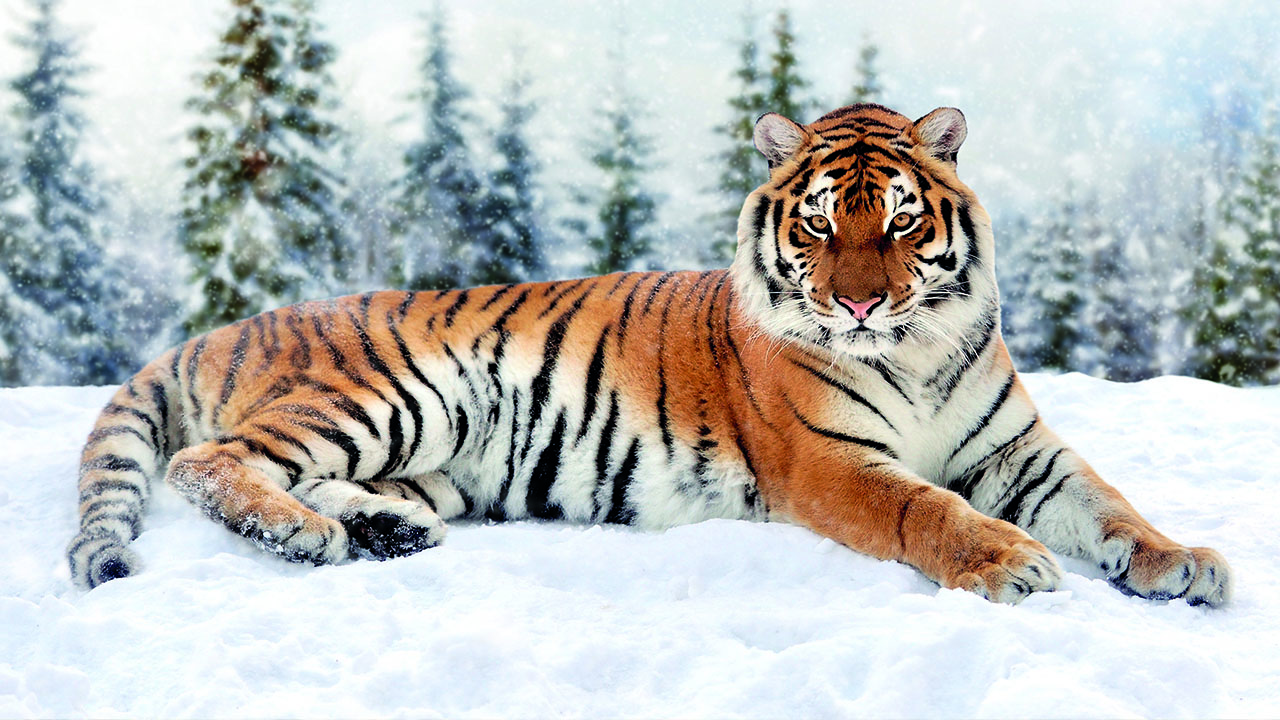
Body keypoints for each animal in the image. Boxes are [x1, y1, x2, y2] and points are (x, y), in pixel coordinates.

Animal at [68, 103, 1232, 606]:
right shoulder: (830, 462)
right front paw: (1011, 564)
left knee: (320, 481)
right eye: (821, 223)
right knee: (210, 463)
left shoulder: (1016, 450)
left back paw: (382, 533)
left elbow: (1107, 503)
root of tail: (235, 323)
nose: (858, 303)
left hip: (426, 457)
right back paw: (303, 537)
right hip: (392, 394)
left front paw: (1181, 562)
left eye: (901, 221)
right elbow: (928, 510)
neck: (918, 348)